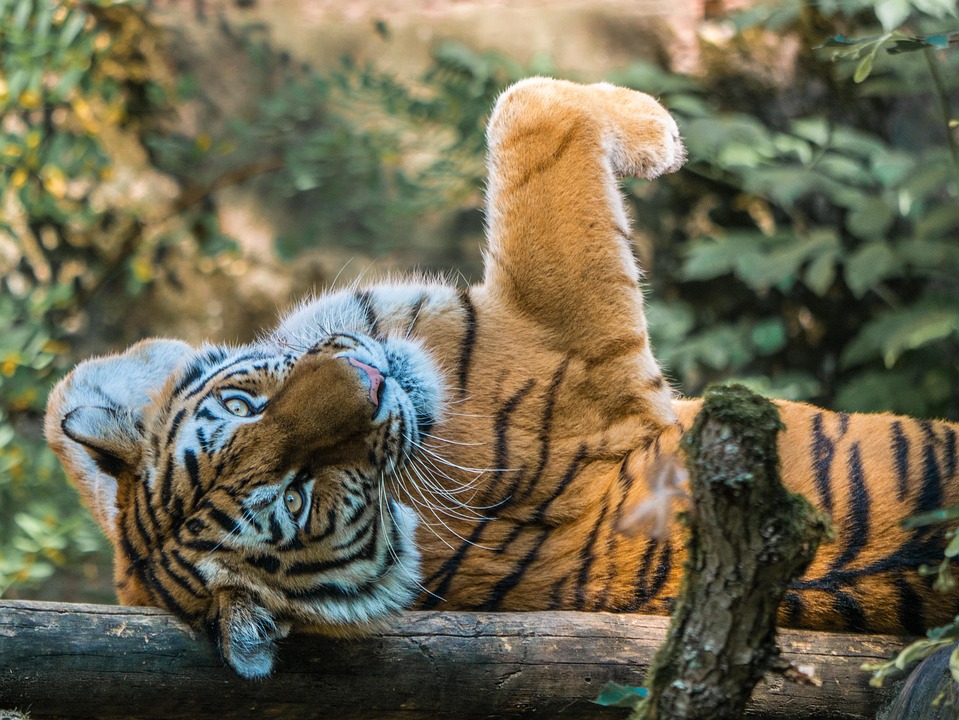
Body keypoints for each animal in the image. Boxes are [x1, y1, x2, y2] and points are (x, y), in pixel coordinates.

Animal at [45, 78, 959, 679]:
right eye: (298, 499)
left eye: (245, 405)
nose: (366, 382)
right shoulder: (571, 331)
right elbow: (528, 110)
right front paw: (657, 131)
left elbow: (71, 403)